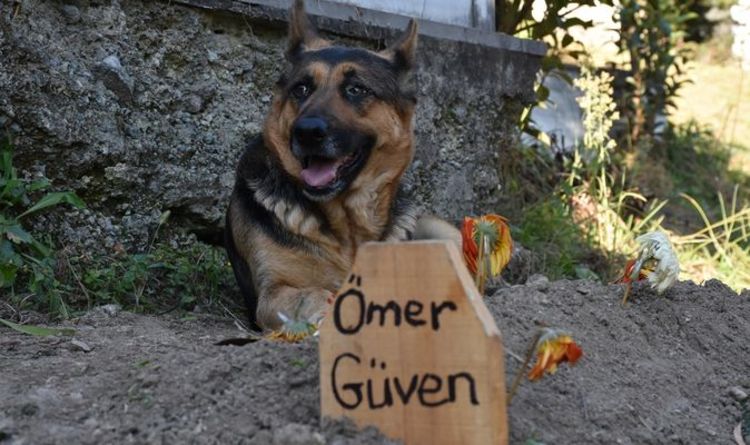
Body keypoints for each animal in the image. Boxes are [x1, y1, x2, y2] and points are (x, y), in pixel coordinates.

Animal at [223, 0, 458, 330]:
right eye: (301, 89)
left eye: (356, 89)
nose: (306, 132)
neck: (347, 229)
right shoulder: (273, 293)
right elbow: (313, 295)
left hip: (445, 231)